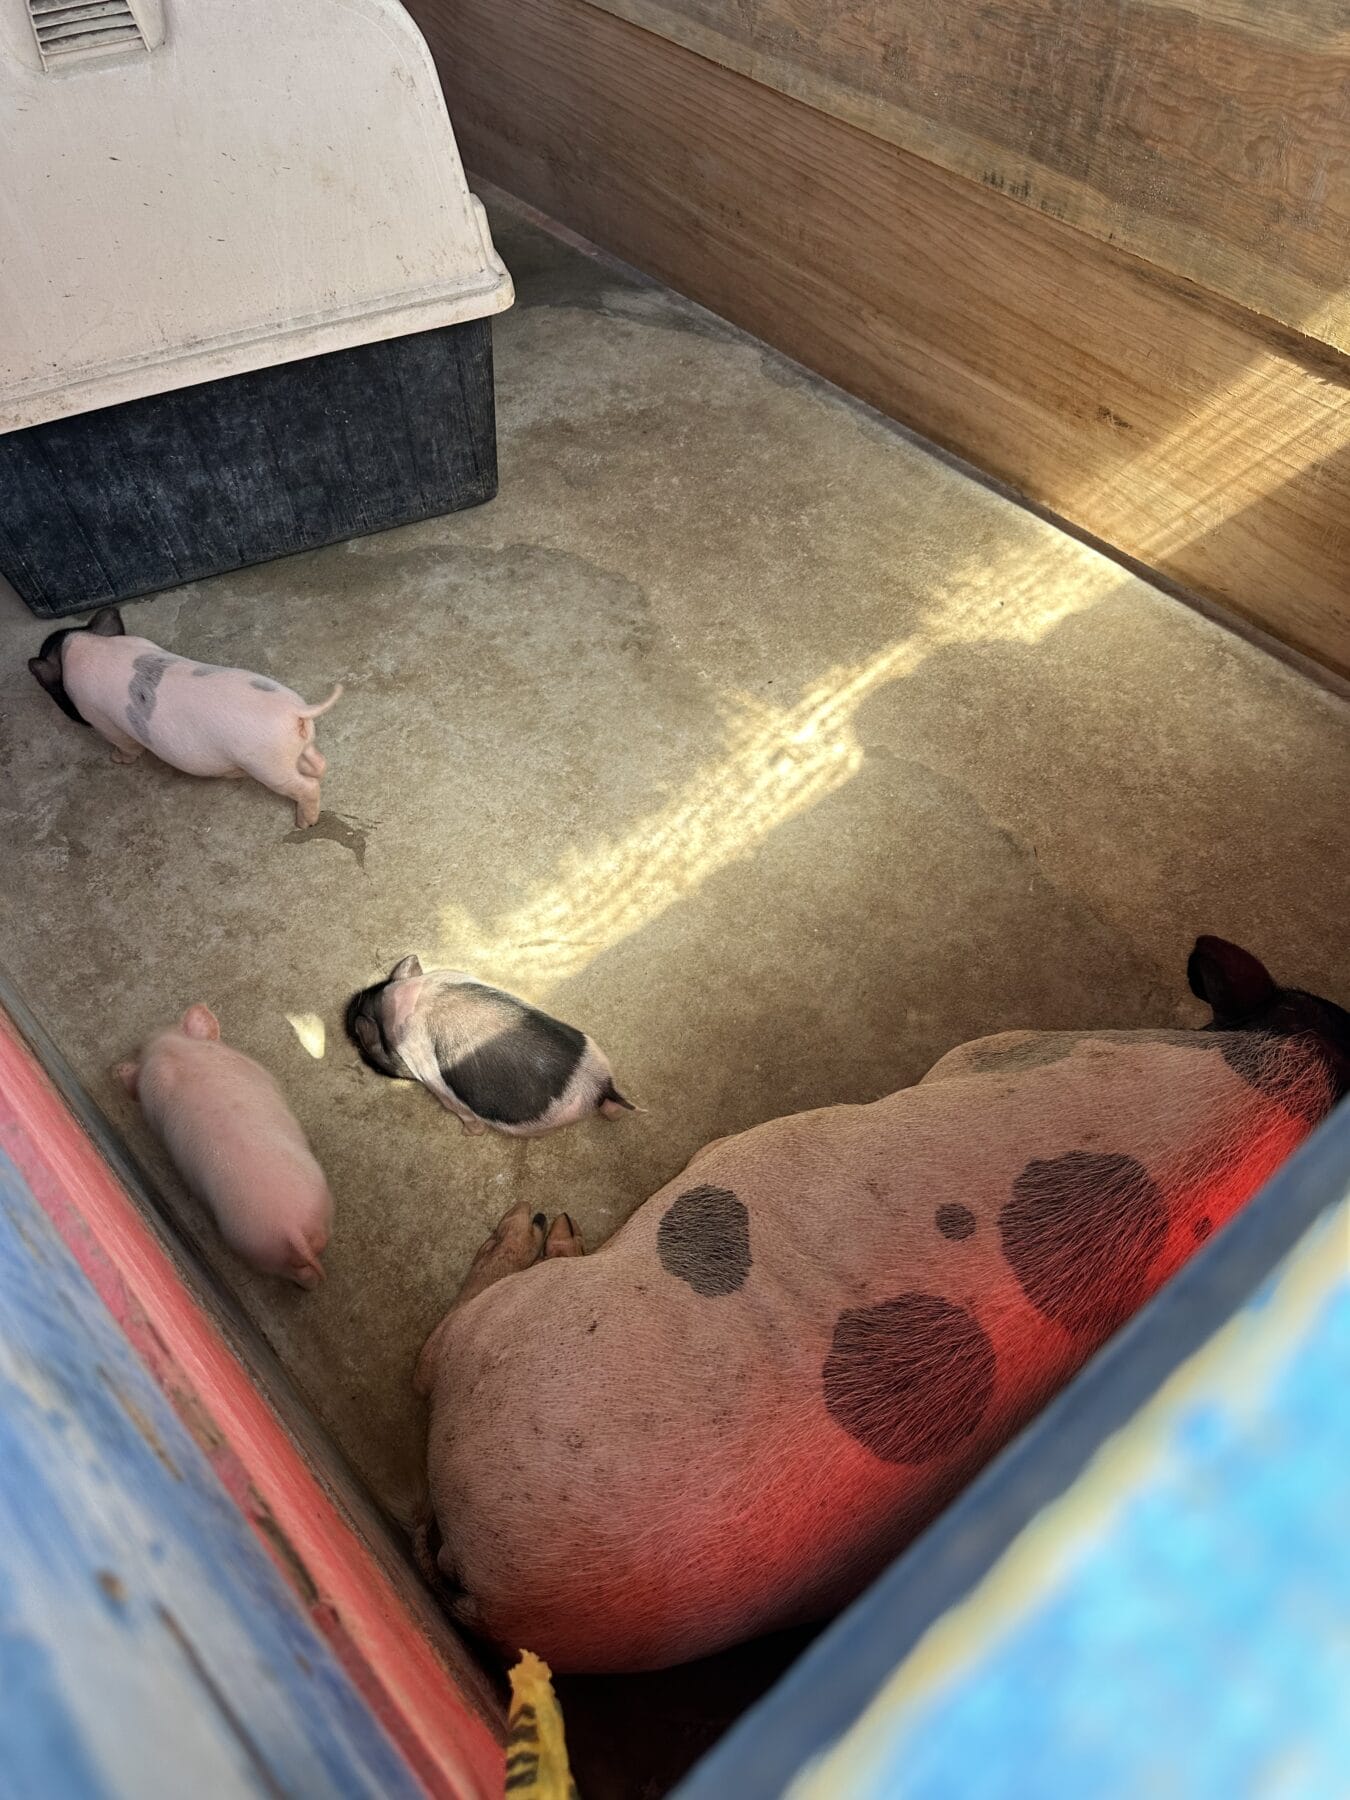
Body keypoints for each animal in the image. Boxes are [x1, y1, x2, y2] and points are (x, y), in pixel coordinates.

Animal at [28, 606, 342, 827]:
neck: (85, 646)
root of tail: (294, 710)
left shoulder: (99, 717)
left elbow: (126, 744)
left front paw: (116, 760)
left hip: (266, 764)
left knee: (306, 786)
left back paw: (304, 824)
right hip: (297, 745)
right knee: (318, 763)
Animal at [345, 956, 635, 1137]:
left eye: (361, 1045)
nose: (348, 1012)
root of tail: (601, 1085)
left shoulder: (429, 1074)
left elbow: (459, 1110)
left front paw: (467, 1134)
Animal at [414, 937, 1348, 1672]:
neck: (1297, 1080)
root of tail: (492, 1591)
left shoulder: (1000, 1049)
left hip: (506, 1341)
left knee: (435, 1350)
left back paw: (541, 1231)